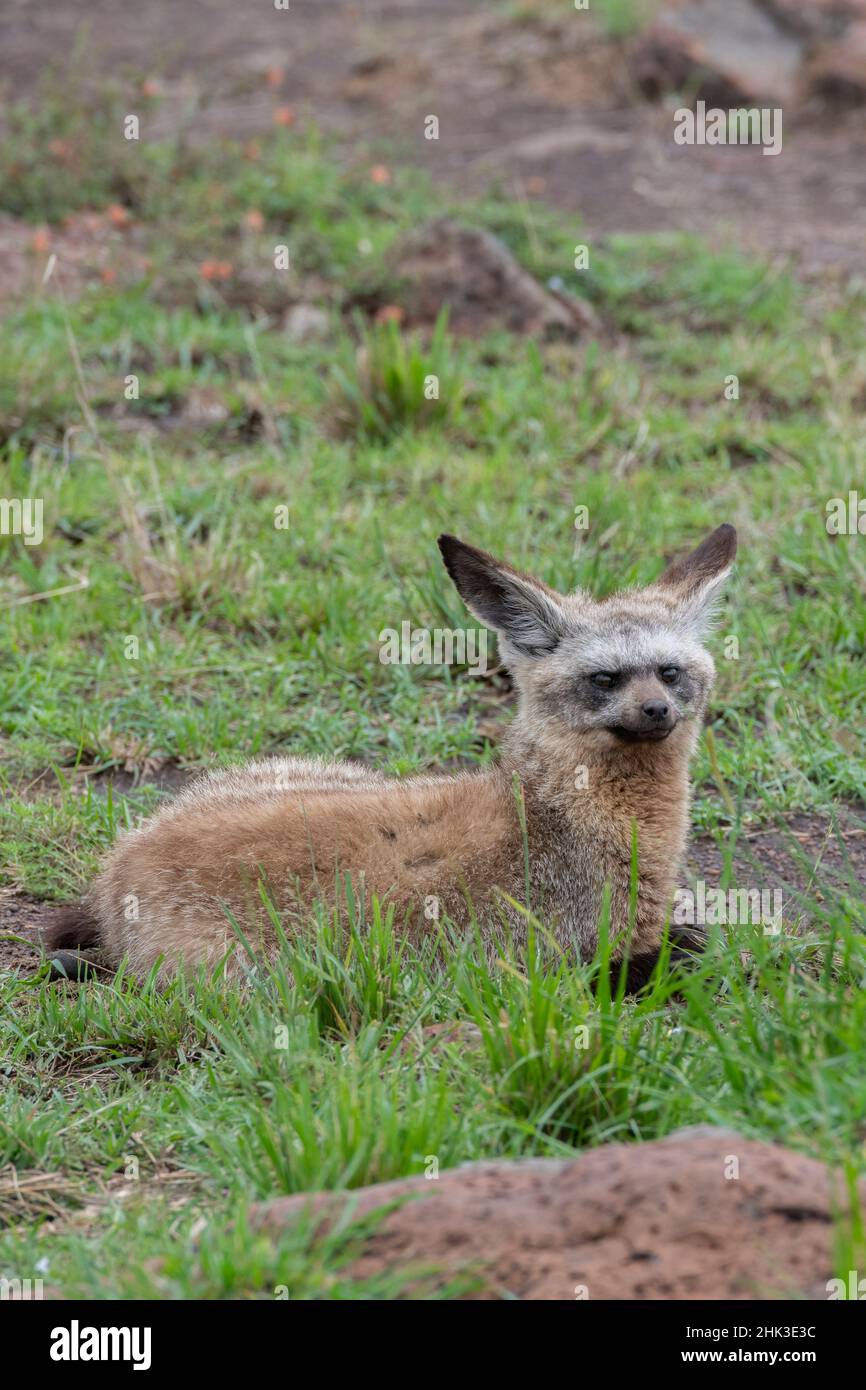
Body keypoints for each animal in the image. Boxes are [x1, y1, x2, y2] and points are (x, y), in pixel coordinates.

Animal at [44, 523, 736, 988]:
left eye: (669, 672)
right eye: (605, 679)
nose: (658, 711)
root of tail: (115, 870)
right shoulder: (536, 965)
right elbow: (684, 953)